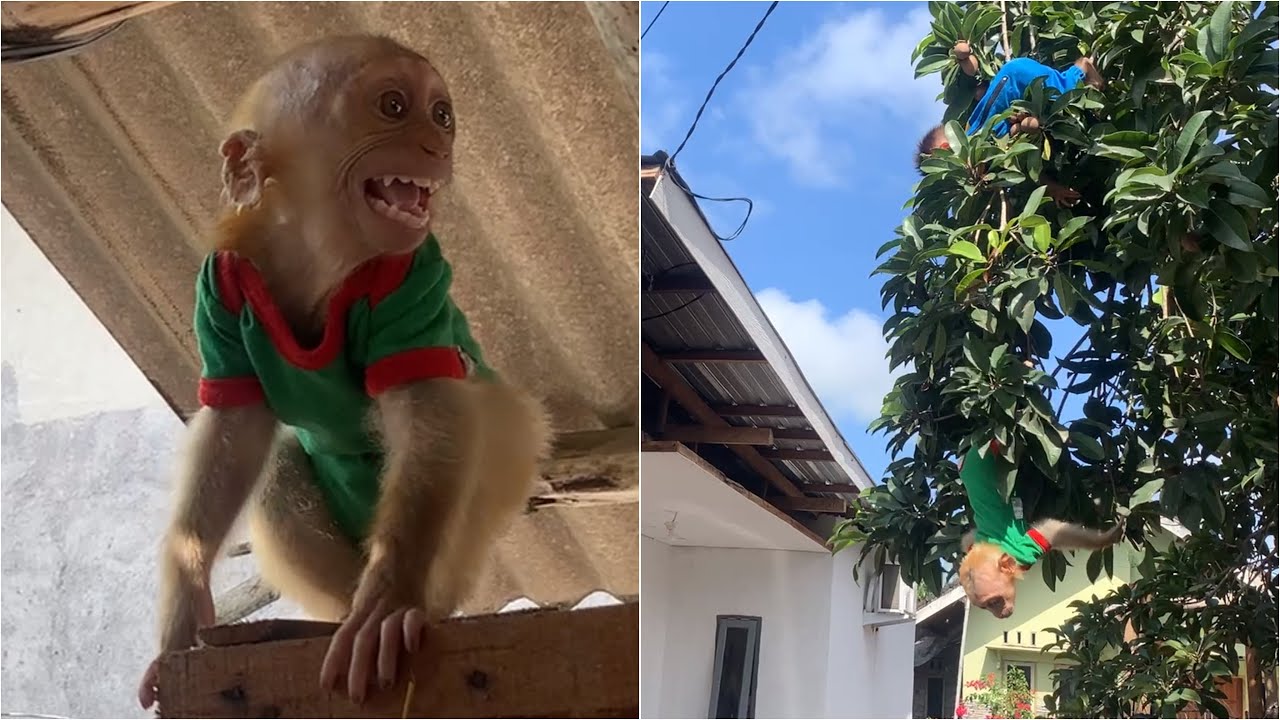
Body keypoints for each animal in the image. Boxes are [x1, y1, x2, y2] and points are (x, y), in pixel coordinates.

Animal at [136, 34, 552, 709]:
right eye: (394, 106)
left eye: (441, 115)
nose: (438, 146)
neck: (319, 258)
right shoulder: (217, 281)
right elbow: (235, 431)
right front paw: (184, 612)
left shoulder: (414, 272)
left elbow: (428, 408)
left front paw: (389, 602)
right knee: (278, 468)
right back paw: (329, 617)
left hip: (468, 540)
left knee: (486, 418)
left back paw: (412, 607)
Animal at [955, 441, 1124, 620]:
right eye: (986, 607)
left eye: (995, 601)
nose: (999, 614)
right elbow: (968, 537)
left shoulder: (1027, 548)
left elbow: (1055, 531)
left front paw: (1109, 536)